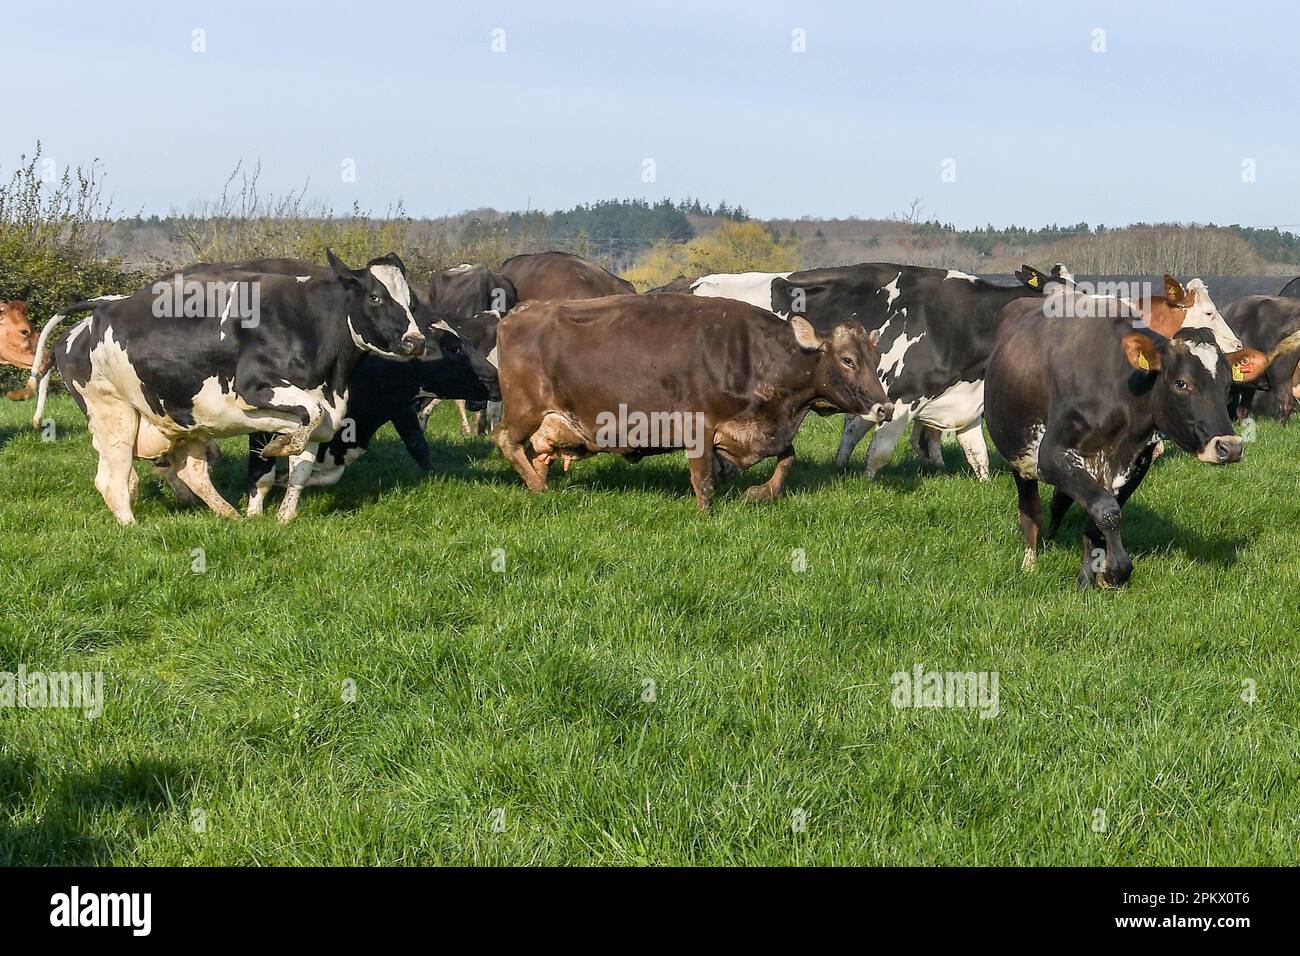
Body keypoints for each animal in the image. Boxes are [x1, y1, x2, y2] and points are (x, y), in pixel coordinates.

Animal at [27, 251, 428, 524]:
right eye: (376, 297)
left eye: (412, 300)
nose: (415, 341)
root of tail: (95, 314)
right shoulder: (257, 392)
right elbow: (280, 450)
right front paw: (268, 479)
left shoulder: (324, 411)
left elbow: (300, 465)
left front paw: (281, 518)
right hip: (113, 414)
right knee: (113, 477)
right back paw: (132, 526)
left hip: (181, 421)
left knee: (188, 472)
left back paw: (227, 515)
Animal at [492, 293, 893, 509]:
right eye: (848, 360)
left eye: (875, 358)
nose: (885, 408)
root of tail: (522, 311)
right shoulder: (699, 426)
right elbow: (704, 479)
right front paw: (706, 513)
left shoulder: (755, 431)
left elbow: (788, 456)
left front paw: (762, 492)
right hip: (524, 409)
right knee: (506, 440)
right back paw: (538, 487)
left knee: (538, 453)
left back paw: (538, 481)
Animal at [985, 294, 1281, 589]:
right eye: (1181, 383)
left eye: (1228, 386)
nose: (1230, 447)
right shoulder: (1052, 456)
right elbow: (1107, 510)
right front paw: (1116, 570)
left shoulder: (1137, 463)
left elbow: (1096, 520)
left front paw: (1089, 578)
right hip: (1020, 456)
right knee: (1030, 509)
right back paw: (1030, 562)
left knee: (1059, 502)